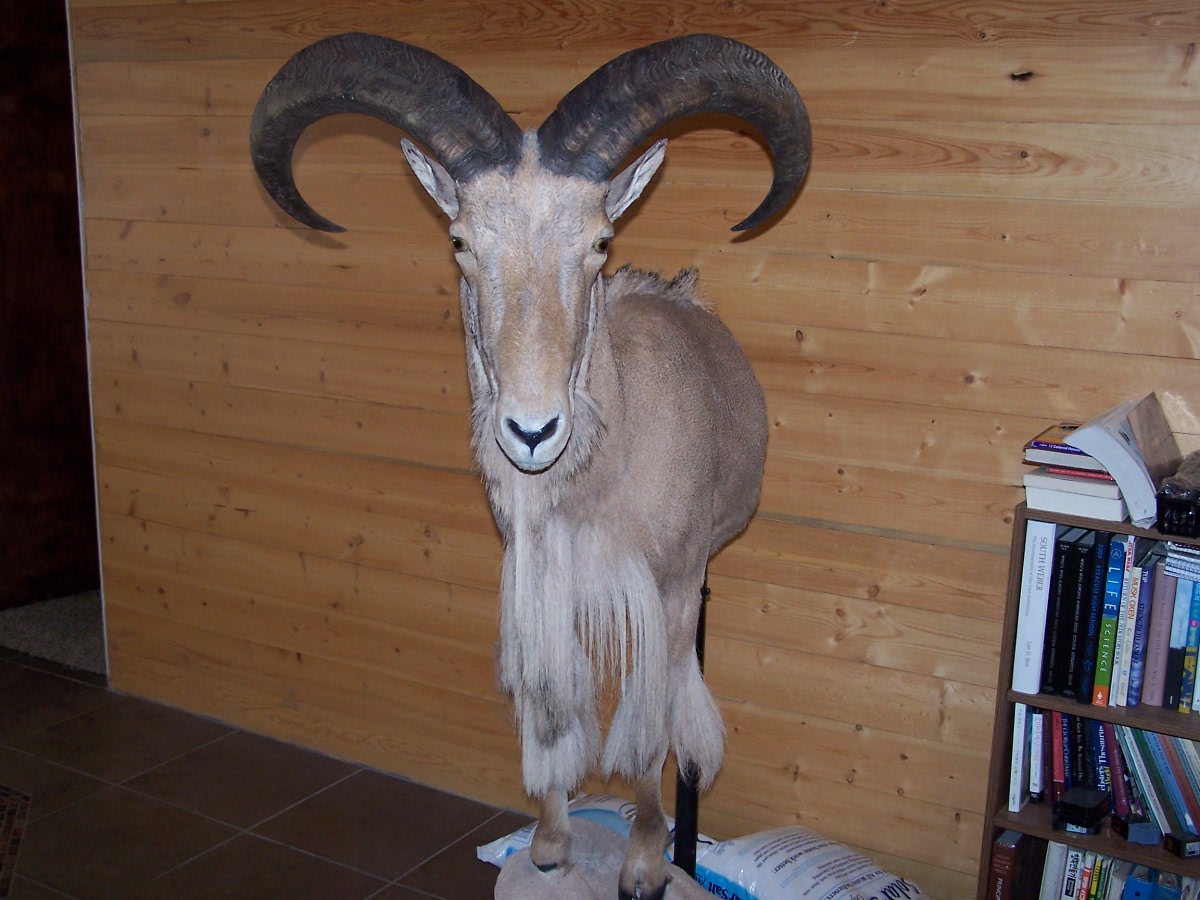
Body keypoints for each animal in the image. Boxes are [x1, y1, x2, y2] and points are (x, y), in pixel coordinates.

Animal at [251, 32, 810, 900]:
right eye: (461, 243)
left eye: (599, 244)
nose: (533, 431)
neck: (606, 464)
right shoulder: (540, 577)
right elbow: (555, 705)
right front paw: (549, 846)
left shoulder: (669, 590)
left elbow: (647, 734)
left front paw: (643, 868)